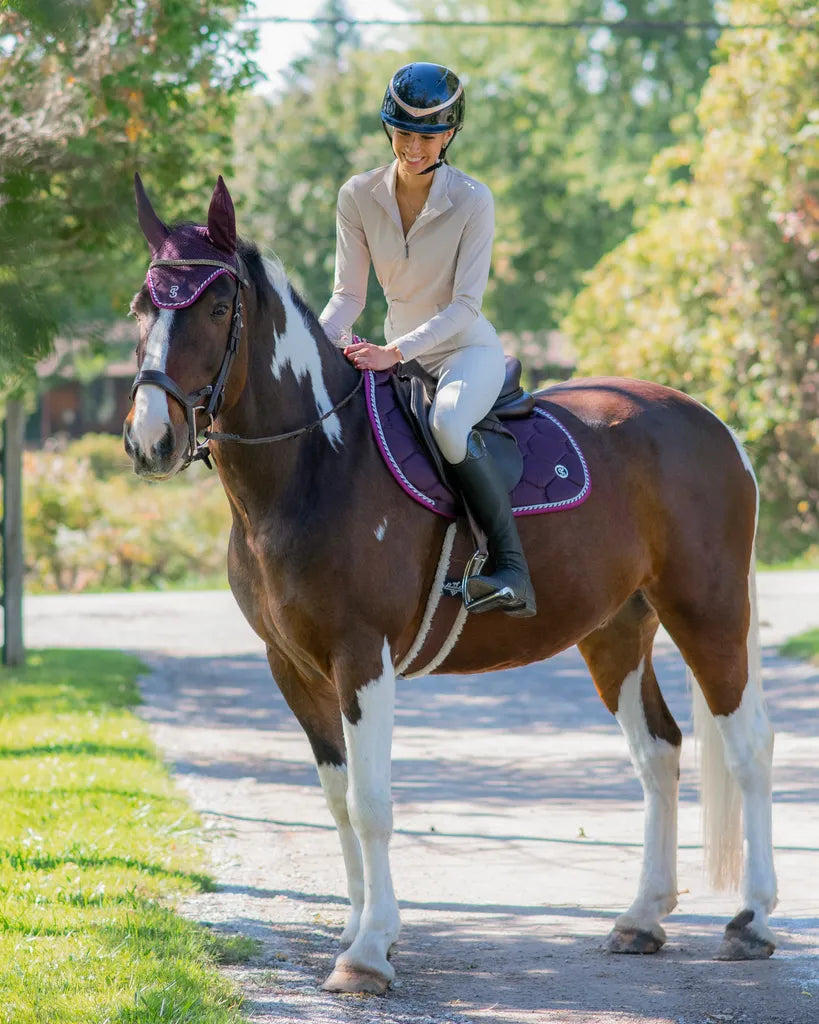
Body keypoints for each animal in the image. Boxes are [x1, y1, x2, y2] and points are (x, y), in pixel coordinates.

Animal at [123, 175, 777, 995]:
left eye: (216, 309)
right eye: (140, 308)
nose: (151, 440)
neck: (314, 466)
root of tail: (712, 426)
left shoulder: (360, 658)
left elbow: (371, 803)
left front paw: (368, 954)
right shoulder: (294, 668)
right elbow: (337, 801)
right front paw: (358, 930)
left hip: (708, 611)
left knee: (749, 746)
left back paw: (751, 921)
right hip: (616, 630)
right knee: (657, 751)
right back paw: (640, 920)